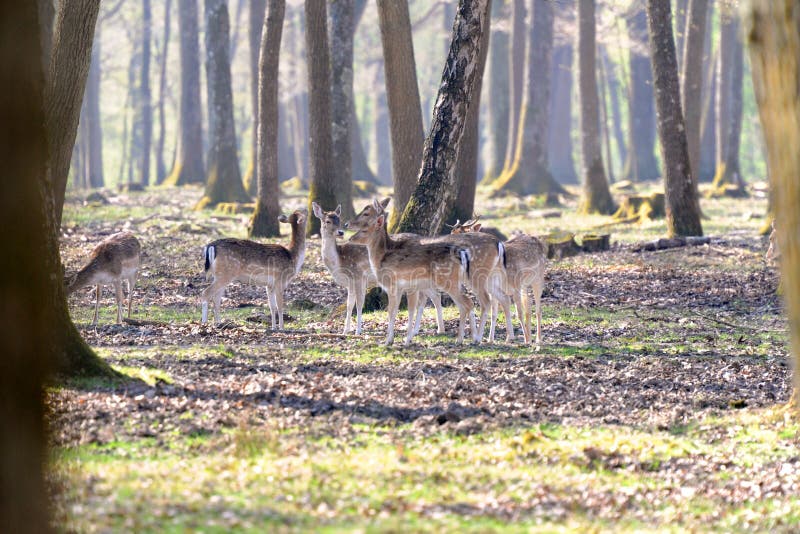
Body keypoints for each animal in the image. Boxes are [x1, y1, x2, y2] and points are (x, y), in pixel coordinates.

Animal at [313, 202, 445, 336]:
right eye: (328, 221)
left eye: (338, 219)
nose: (340, 232)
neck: (339, 261)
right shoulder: (350, 283)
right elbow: (349, 304)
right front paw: (345, 331)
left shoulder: (358, 276)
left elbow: (359, 304)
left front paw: (358, 331)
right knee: (433, 296)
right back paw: (428, 330)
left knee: (427, 298)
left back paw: (430, 329)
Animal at [346, 199, 476, 346]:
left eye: (364, 228)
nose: (349, 237)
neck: (382, 259)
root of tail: (462, 254)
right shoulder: (402, 289)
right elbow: (398, 311)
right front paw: (397, 339)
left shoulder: (392, 285)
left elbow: (391, 311)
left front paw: (388, 341)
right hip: (455, 282)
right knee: (466, 303)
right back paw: (473, 338)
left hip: (448, 282)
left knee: (466, 303)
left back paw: (461, 339)